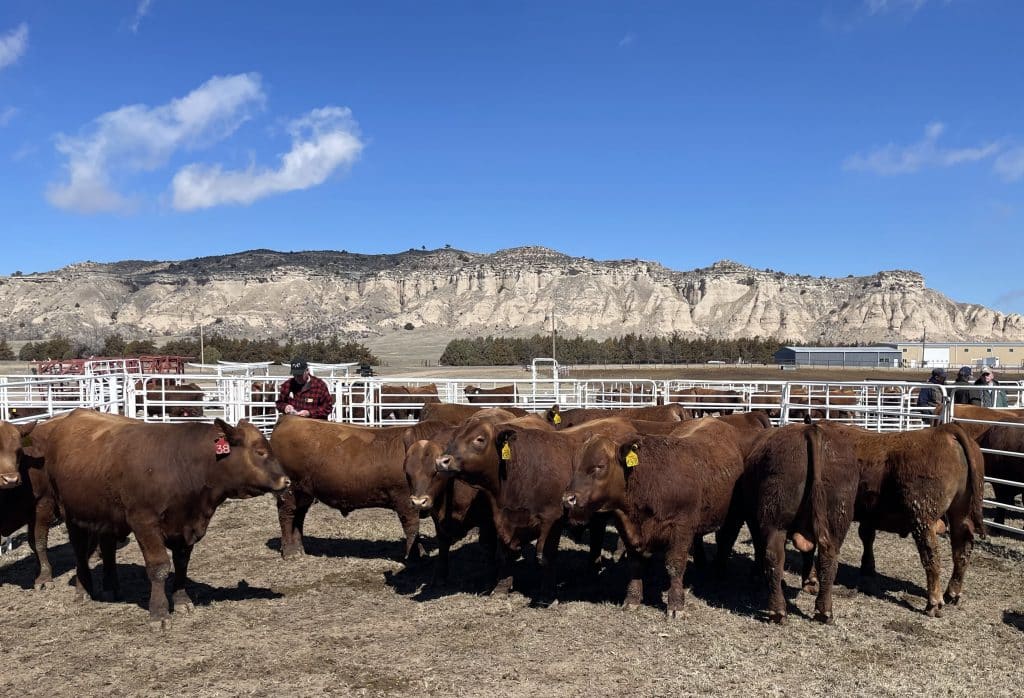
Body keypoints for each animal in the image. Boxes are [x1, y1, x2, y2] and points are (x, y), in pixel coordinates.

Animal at [24, 409, 288, 626]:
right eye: (260, 452)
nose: (286, 481)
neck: (182, 462)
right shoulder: (144, 522)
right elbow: (159, 566)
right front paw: (159, 612)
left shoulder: (186, 526)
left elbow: (181, 563)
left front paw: (182, 601)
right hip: (72, 513)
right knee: (80, 551)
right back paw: (84, 590)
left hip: (107, 516)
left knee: (107, 549)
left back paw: (111, 587)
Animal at [271, 416, 449, 561]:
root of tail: (289, 419)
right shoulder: (406, 501)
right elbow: (412, 527)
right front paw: (417, 556)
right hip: (290, 491)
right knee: (286, 516)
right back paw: (290, 553)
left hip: (304, 493)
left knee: (298, 517)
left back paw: (299, 550)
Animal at [562, 420, 747, 619]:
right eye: (575, 465)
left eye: (599, 466)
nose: (568, 498)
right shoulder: (627, 528)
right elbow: (635, 564)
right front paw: (632, 600)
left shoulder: (681, 527)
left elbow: (675, 565)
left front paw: (676, 605)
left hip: (733, 515)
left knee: (726, 539)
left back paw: (719, 571)